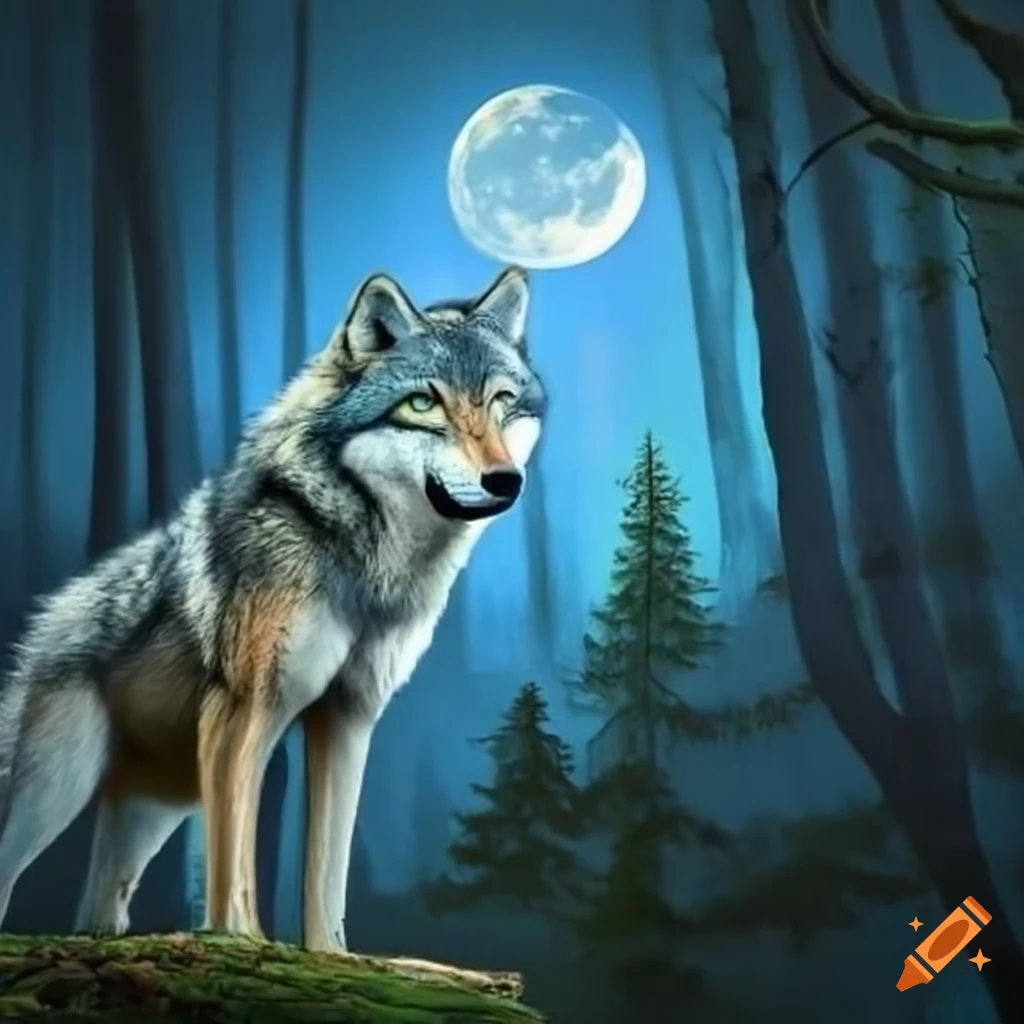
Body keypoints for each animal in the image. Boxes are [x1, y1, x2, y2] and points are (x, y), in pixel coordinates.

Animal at [0, 265, 545, 951]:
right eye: (423, 404)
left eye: (501, 401)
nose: (505, 480)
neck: (362, 559)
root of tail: (49, 613)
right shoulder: (244, 708)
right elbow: (234, 859)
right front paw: (241, 944)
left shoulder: (348, 717)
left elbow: (328, 873)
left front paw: (330, 960)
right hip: (56, 793)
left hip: (153, 814)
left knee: (98, 912)